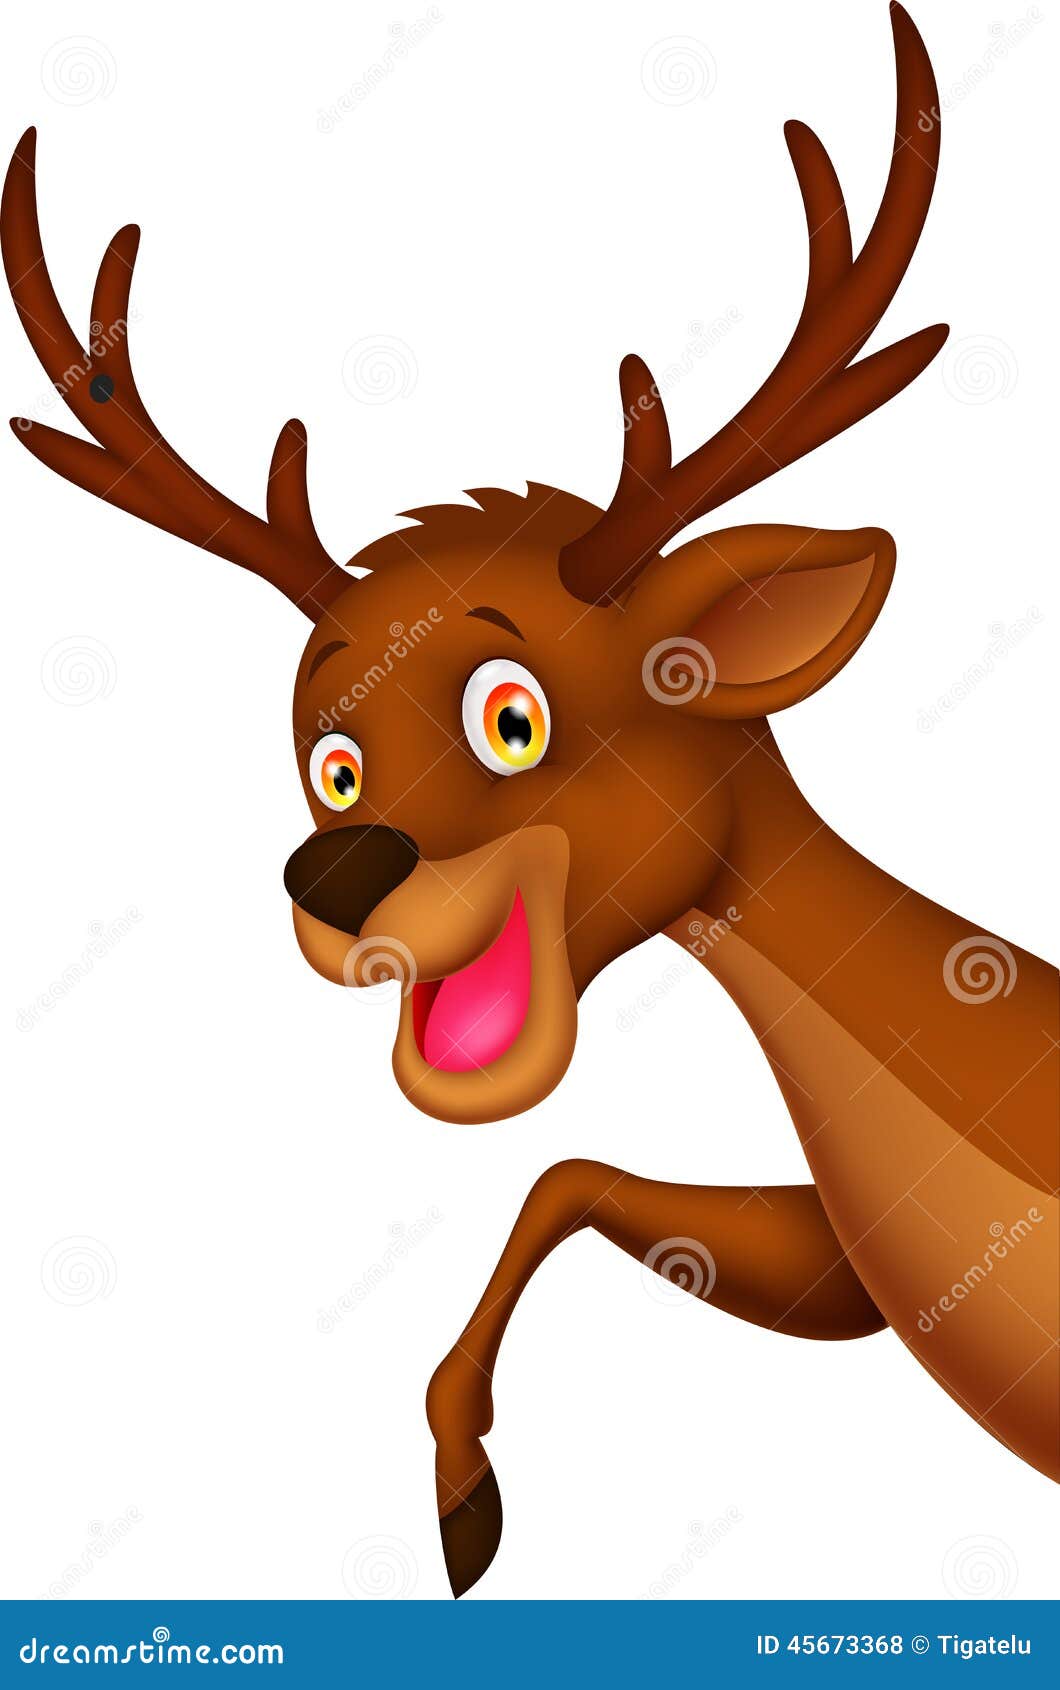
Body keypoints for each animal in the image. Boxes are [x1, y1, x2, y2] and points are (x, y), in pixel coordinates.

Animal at [4, 3, 1056, 1601]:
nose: (336, 875)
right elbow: (575, 1174)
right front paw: (461, 1492)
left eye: (514, 718)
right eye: (331, 760)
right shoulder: (864, 1264)